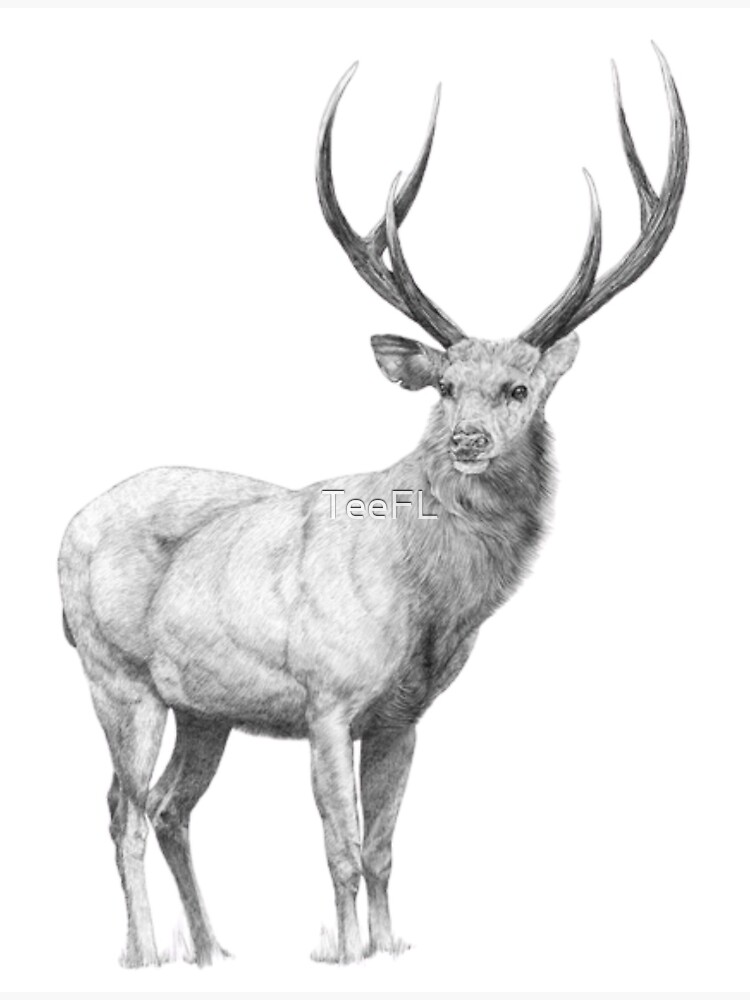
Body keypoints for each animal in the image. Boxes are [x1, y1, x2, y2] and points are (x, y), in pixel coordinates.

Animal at [58, 46, 688, 968]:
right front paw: (350, 956)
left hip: (205, 708)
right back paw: (143, 955)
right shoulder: (326, 696)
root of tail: (63, 533)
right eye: (446, 385)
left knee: (171, 808)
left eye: (519, 388)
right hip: (116, 677)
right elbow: (341, 848)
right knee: (123, 812)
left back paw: (214, 953)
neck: (429, 602)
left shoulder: (404, 714)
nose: (467, 438)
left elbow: (385, 844)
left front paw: (391, 951)